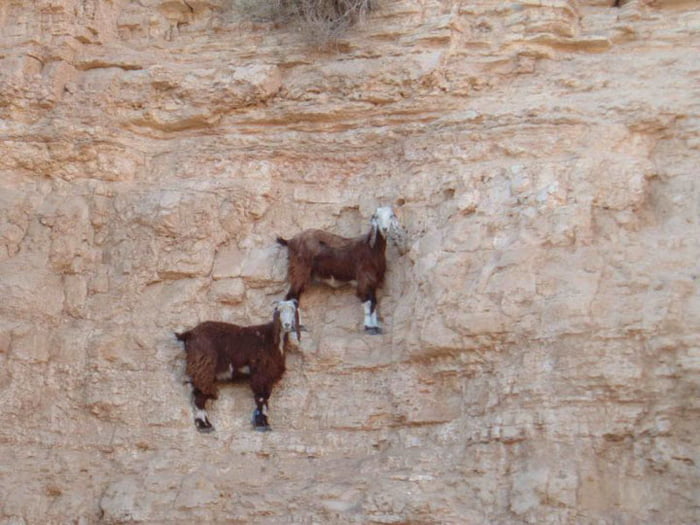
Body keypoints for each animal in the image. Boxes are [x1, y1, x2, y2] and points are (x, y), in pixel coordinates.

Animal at [175, 299, 300, 432]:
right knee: (200, 396)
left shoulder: (269, 375)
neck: (270, 338)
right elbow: (261, 398)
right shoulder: (260, 372)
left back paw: (206, 425)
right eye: (279, 310)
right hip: (203, 367)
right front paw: (261, 425)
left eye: (293, 310)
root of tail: (189, 334)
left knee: (199, 394)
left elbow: (265, 398)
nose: (287, 325)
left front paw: (264, 423)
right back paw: (204, 426)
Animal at [276, 206, 408, 335]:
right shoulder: (364, 278)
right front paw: (369, 328)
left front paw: (375, 327)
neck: (372, 249)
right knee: (291, 296)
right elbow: (367, 302)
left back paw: (299, 326)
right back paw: (294, 327)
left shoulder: (373, 281)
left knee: (295, 298)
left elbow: (374, 302)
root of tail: (290, 241)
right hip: (299, 271)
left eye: (391, 216)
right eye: (377, 217)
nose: (385, 229)